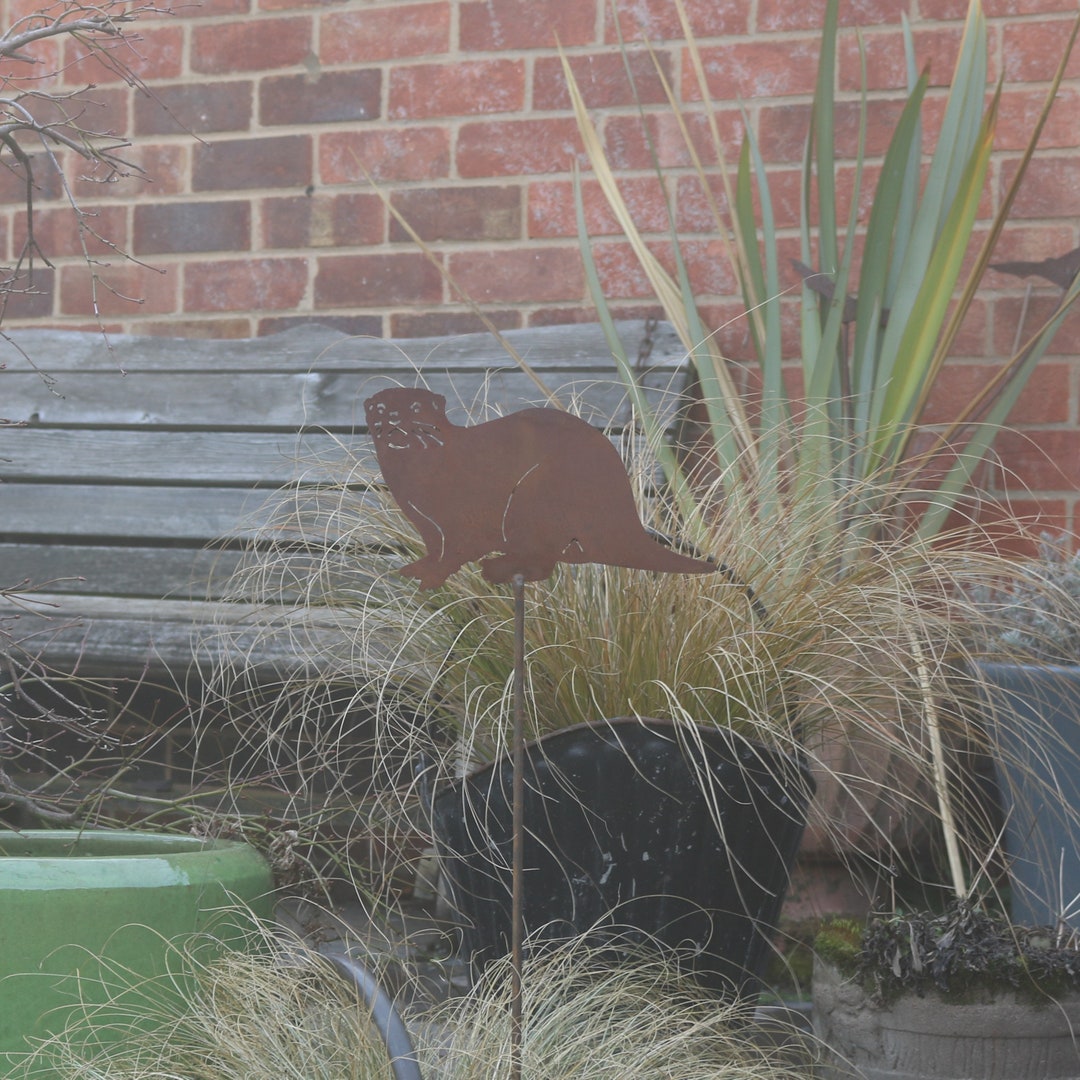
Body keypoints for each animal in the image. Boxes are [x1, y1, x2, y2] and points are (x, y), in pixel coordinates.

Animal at [365, 387, 716, 589]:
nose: (393, 415)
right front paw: (419, 567)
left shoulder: (461, 517)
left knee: (545, 561)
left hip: (535, 501)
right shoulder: (424, 520)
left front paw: (433, 577)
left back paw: (499, 567)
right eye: (379, 408)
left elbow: (454, 550)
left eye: (415, 407)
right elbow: (435, 547)